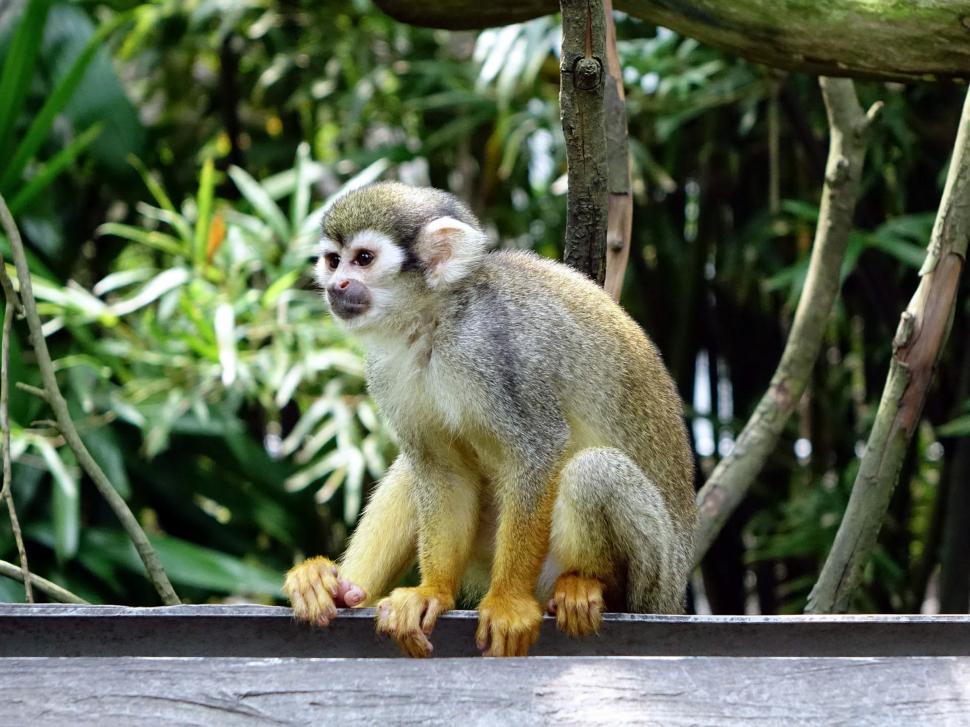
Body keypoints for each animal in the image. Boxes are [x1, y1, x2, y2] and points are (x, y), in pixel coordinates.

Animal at [283, 182, 695, 657]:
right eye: (333, 260)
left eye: (363, 258)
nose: (337, 284)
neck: (435, 321)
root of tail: (675, 595)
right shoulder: (386, 369)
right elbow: (442, 470)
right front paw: (432, 592)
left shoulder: (495, 349)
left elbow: (538, 451)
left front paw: (508, 602)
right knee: (415, 469)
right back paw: (340, 589)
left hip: (653, 577)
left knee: (594, 472)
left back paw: (591, 586)